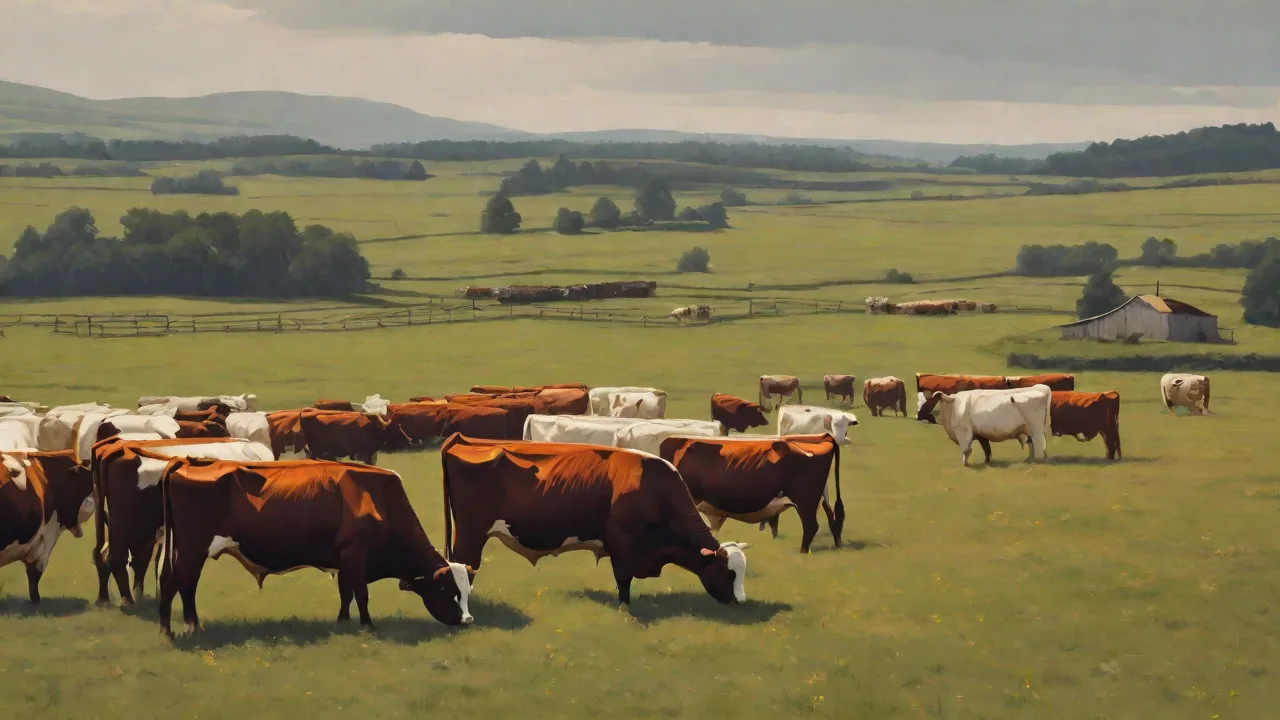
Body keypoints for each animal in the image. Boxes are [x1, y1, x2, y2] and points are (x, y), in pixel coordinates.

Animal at [90, 437, 274, 605]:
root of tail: (121, 447)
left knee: (103, 554)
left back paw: (106, 599)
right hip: (128, 529)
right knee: (115, 557)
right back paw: (128, 601)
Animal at [157, 458, 474, 637]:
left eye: (467, 591)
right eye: (446, 589)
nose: (468, 620)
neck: (379, 497)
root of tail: (187, 461)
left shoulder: (345, 560)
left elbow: (346, 593)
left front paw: (342, 622)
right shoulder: (356, 554)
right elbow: (361, 593)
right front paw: (368, 625)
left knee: (170, 582)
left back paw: (168, 628)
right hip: (193, 549)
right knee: (183, 583)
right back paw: (188, 627)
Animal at [441, 435, 749, 606]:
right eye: (728, 572)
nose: (741, 601)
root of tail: (461, 439)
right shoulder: (622, 542)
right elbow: (623, 580)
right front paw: (625, 608)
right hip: (470, 534)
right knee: (466, 567)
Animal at [660, 434, 843, 553]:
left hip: (805, 499)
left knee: (811, 525)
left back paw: (803, 552)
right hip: (820, 495)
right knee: (832, 517)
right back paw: (837, 545)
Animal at [924, 385, 1052, 466]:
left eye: (932, 401)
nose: (923, 415)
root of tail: (1041, 387)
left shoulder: (963, 431)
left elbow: (966, 449)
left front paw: (966, 464)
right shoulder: (980, 435)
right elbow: (987, 448)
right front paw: (987, 461)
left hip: (1036, 428)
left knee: (1039, 444)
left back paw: (1038, 460)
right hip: (1028, 429)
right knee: (1032, 443)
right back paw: (1030, 459)